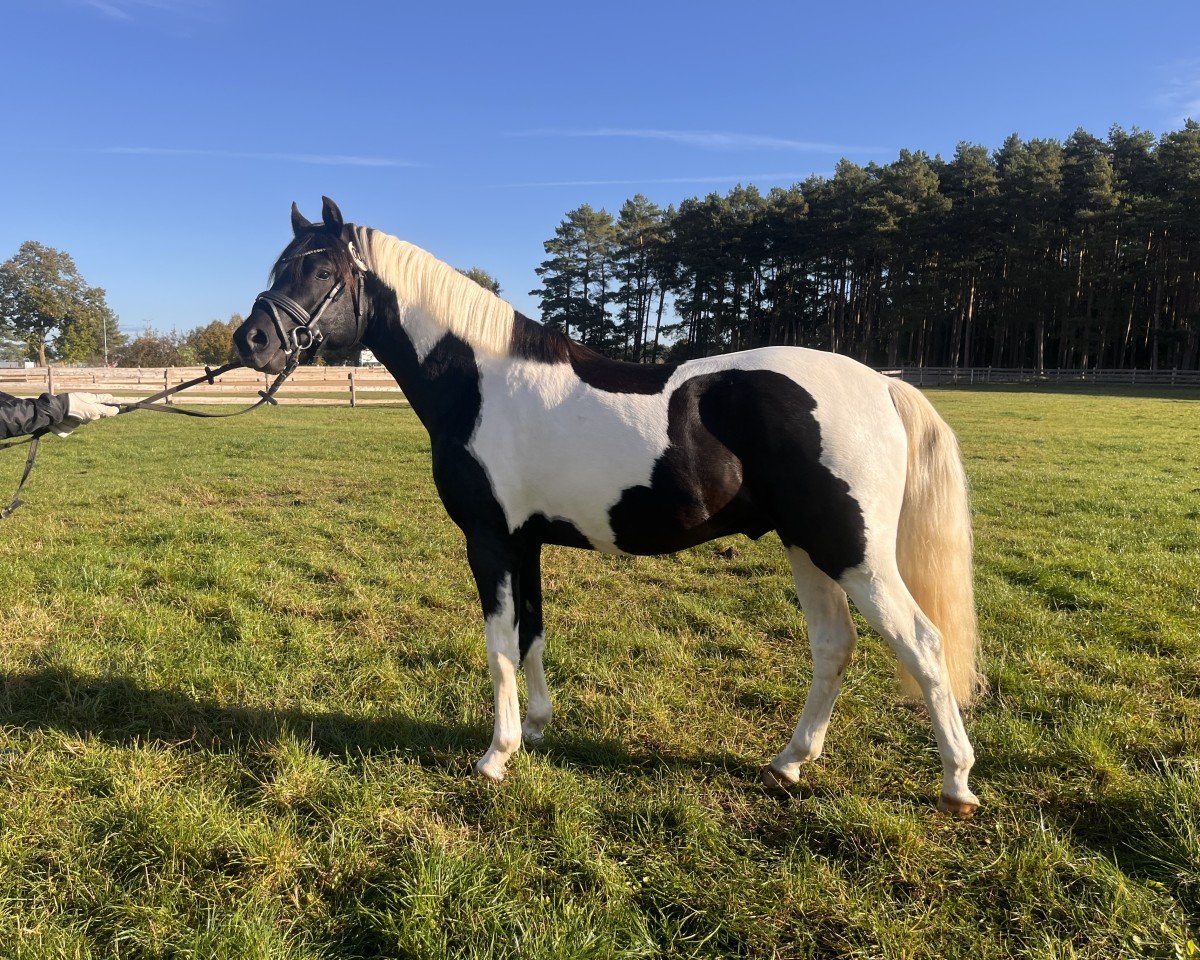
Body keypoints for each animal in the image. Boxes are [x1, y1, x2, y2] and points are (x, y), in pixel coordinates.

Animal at [234, 197, 984, 816]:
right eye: (280, 265)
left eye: (321, 268)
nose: (252, 341)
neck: (480, 382)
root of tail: (882, 385)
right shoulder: (525, 542)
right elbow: (531, 635)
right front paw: (536, 729)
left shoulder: (489, 540)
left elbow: (498, 645)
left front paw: (495, 756)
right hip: (807, 546)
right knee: (834, 646)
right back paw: (790, 763)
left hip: (855, 554)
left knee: (922, 644)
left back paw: (956, 783)